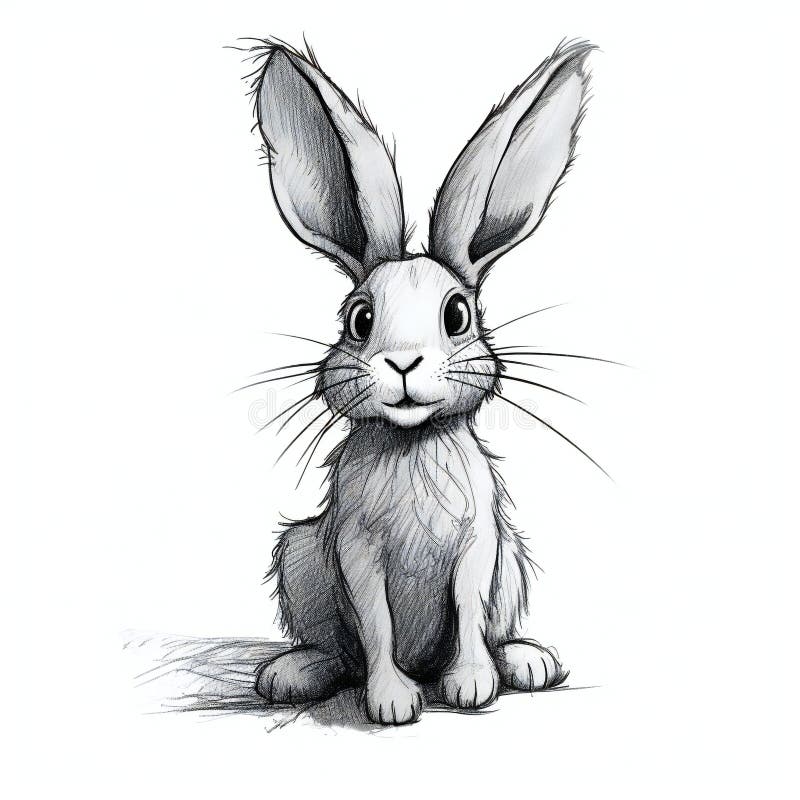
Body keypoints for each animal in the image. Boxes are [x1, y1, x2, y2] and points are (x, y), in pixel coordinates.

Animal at [248, 39, 593, 724]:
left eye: (457, 314)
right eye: (358, 319)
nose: (404, 363)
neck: (412, 444)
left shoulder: (480, 545)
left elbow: (467, 611)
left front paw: (471, 686)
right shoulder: (355, 552)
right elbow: (376, 624)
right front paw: (391, 702)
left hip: (514, 560)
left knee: (496, 626)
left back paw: (528, 662)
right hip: (298, 557)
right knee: (338, 650)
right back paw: (292, 673)